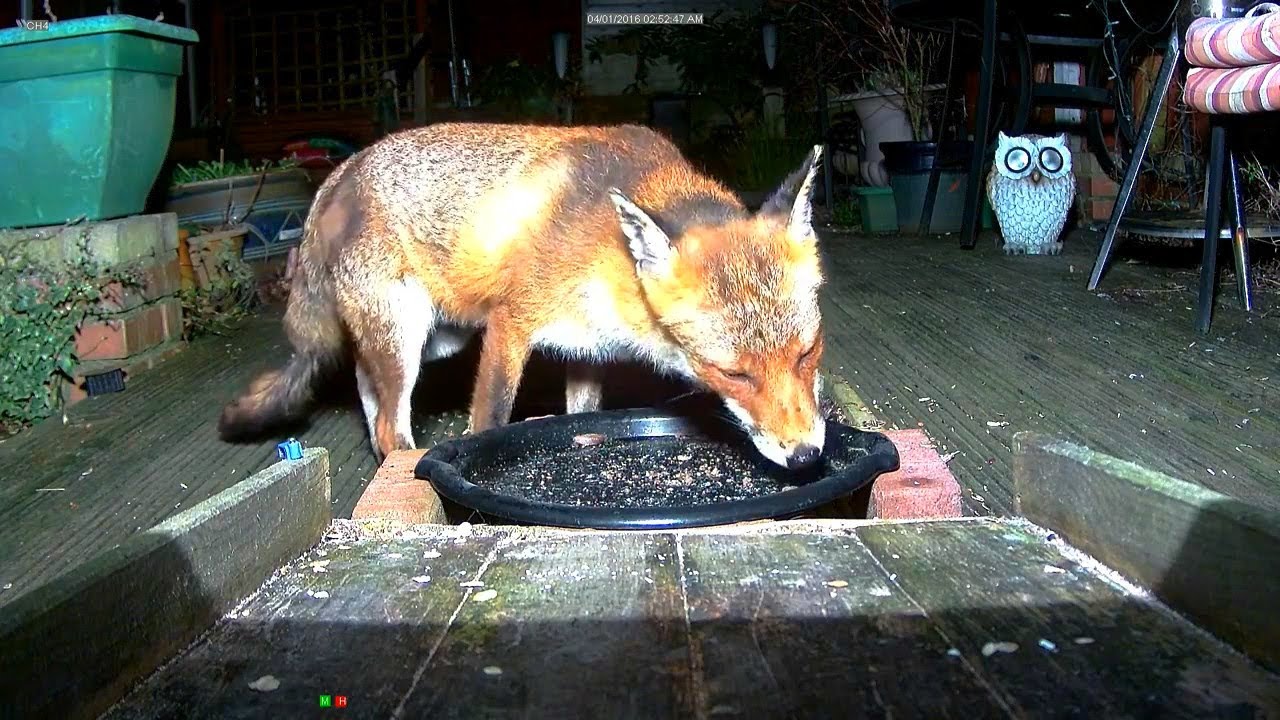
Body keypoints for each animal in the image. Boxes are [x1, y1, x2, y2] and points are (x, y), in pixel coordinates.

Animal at [217, 122, 829, 470]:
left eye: (807, 353)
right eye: (734, 374)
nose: (805, 455)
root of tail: (335, 177)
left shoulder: (590, 350)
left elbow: (582, 415)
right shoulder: (511, 322)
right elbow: (489, 421)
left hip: (434, 340)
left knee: (370, 395)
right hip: (407, 332)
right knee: (391, 422)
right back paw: (412, 467)